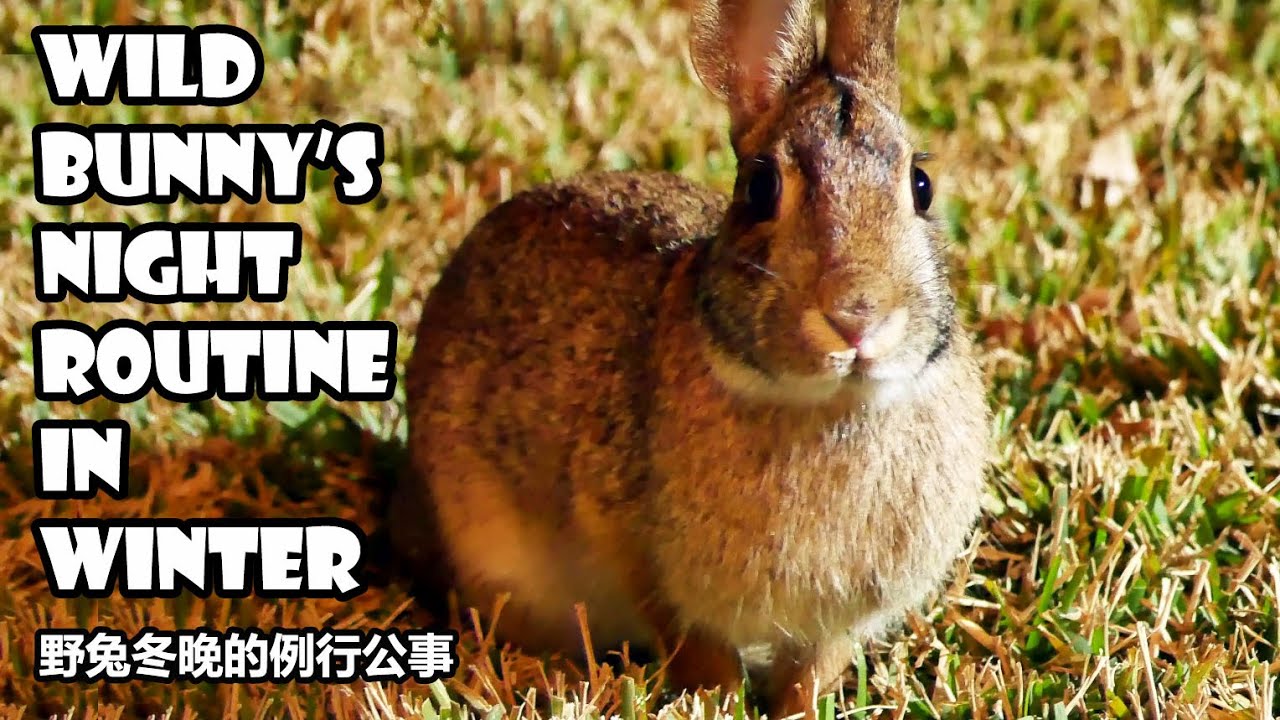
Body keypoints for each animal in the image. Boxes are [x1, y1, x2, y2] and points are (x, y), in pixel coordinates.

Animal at [393, 0, 991, 716]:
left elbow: (809, 674)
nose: (856, 316)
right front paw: (720, 701)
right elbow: (703, 658)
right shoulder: (653, 573)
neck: (832, 403)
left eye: (921, 185)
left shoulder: (832, 623)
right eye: (761, 186)